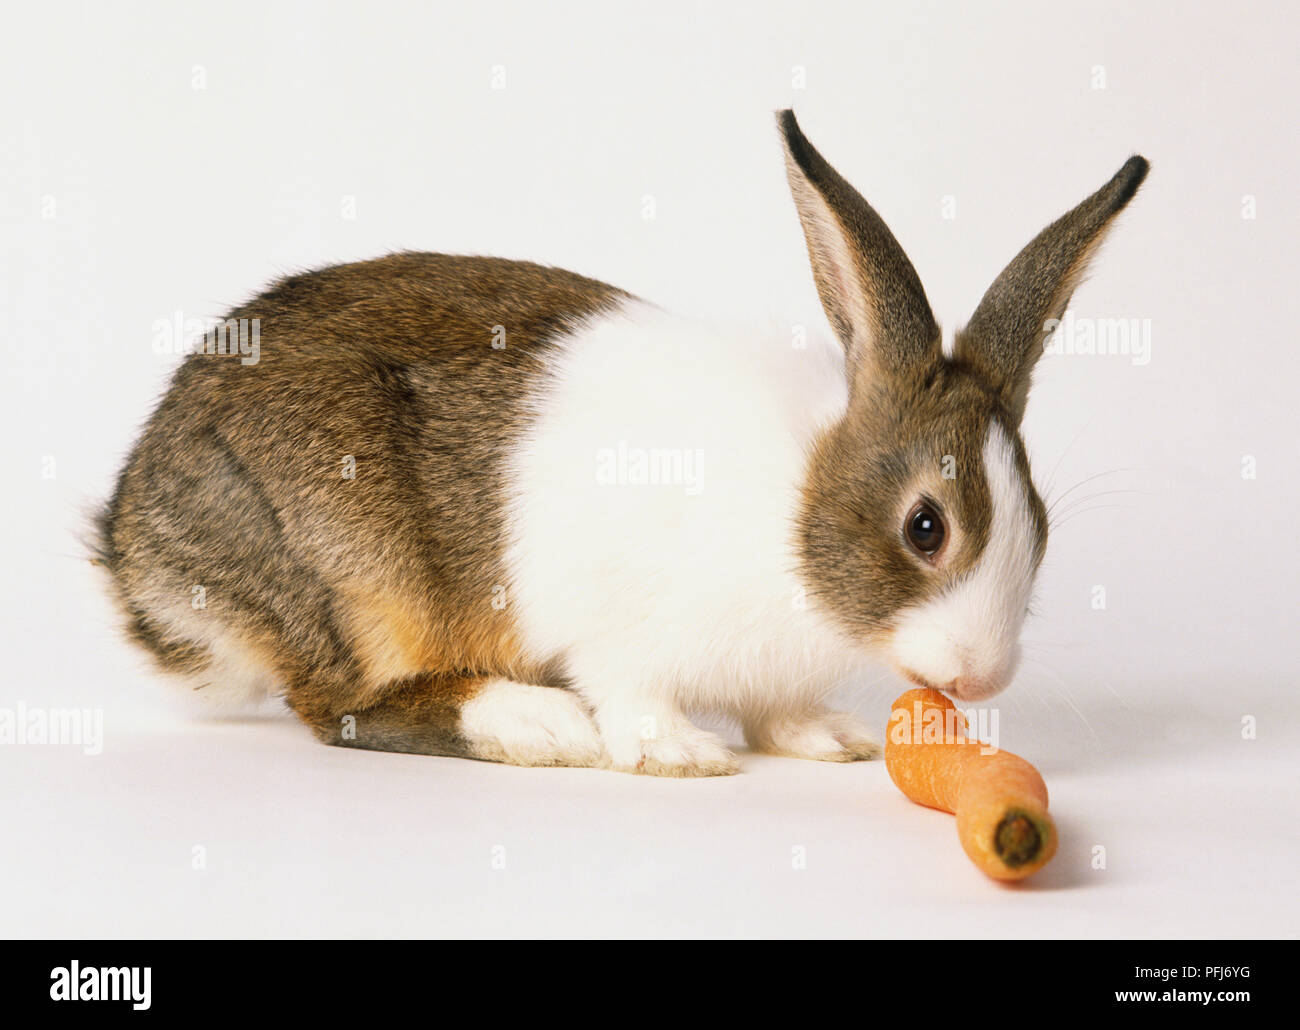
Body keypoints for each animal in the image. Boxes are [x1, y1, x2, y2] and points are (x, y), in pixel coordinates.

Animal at [95, 111, 1148, 776]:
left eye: (1041, 524)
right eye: (926, 527)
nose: (983, 677)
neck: (797, 515)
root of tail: (138, 545)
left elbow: (776, 712)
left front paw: (827, 739)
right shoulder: (620, 627)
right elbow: (631, 688)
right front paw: (681, 754)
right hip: (356, 581)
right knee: (342, 706)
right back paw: (539, 725)